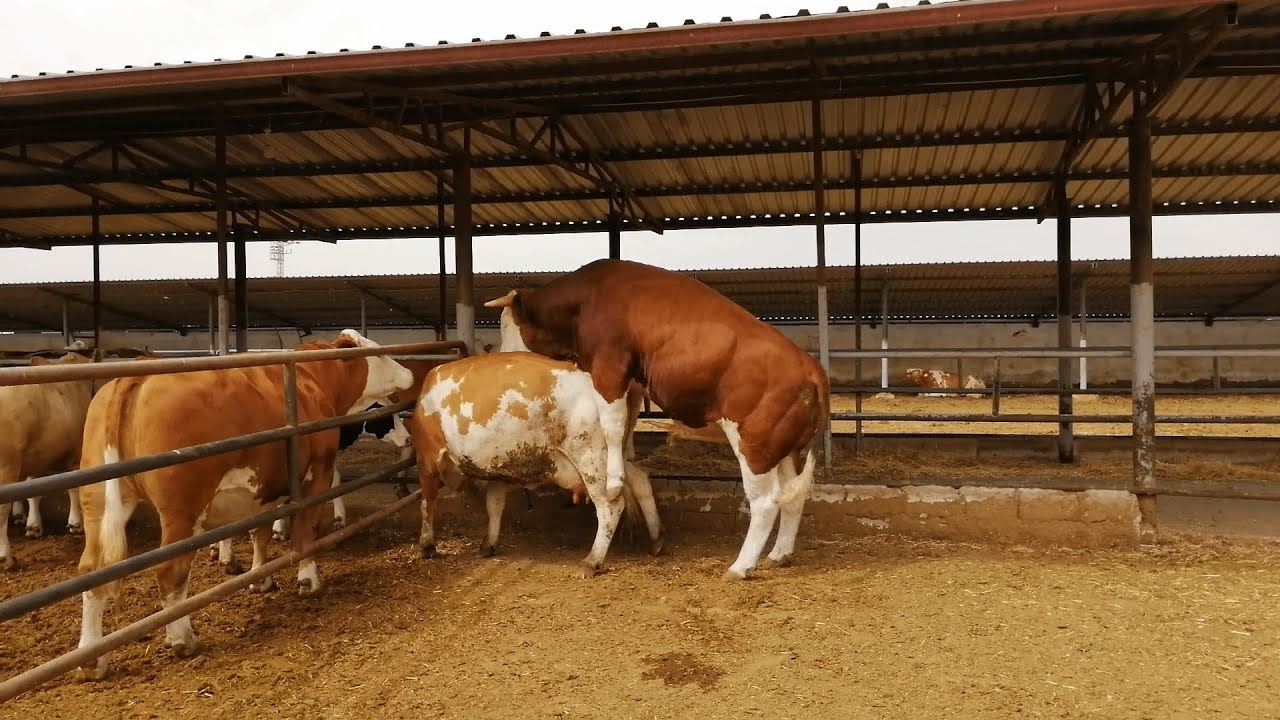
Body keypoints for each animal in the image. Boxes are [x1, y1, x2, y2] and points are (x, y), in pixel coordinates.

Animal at [0, 352, 95, 570]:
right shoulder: (76, 451)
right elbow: (74, 486)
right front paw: (76, 523)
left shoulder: (38, 454)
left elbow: (33, 491)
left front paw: (33, 525)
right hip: (6, 465)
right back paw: (5, 557)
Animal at [74, 329, 413, 680]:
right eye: (378, 353)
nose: (409, 373)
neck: (314, 380)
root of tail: (134, 376)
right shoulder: (316, 472)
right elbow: (306, 528)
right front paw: (308, 579)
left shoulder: (263, 488)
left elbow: (259, 532)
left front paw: (260, 578)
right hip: (182, 511)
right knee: (171, 571)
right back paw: (182, 638)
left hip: (99, 503)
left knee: (91, 573)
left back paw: (91, 658)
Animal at [408, 351, 662, 577]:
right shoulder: (498, 467)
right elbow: (494, 505)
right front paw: (488, 543)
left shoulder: (427, 459)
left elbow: (427, 504)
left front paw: (427, 545)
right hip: (614, 459)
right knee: (641, 480)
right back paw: (657, 539)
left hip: (590, 457)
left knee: (610, 505)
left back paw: (592, 560)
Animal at [483, 258, 829, 581]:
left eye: (505, 324)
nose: (499, 356)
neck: (587, 296)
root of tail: (809, 366)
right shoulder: (633, 385)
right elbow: (626, 430)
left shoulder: (609, 366)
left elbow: (612, 426)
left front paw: (614, 482)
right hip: (785, 450)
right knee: (794, 497)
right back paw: (779, 554)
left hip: (754, 445)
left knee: (766, 502)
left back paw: (740, 566)